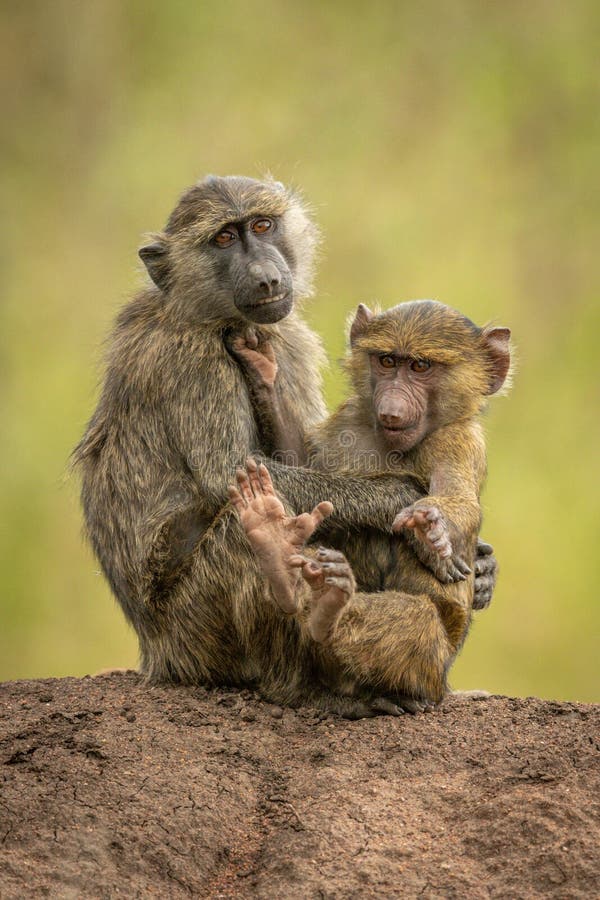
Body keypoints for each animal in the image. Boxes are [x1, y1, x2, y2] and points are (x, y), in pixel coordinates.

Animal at [228, 300, 511, 707]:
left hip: (430, 668)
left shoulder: (458, 441)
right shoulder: (347, 421)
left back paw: (323, 604)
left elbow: (459, 498)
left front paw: (431, 524)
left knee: (416, 620)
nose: (391, 408)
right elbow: (297, 458)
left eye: (420, 366)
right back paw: (277, 555)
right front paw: (264, 368)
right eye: (387, 361)